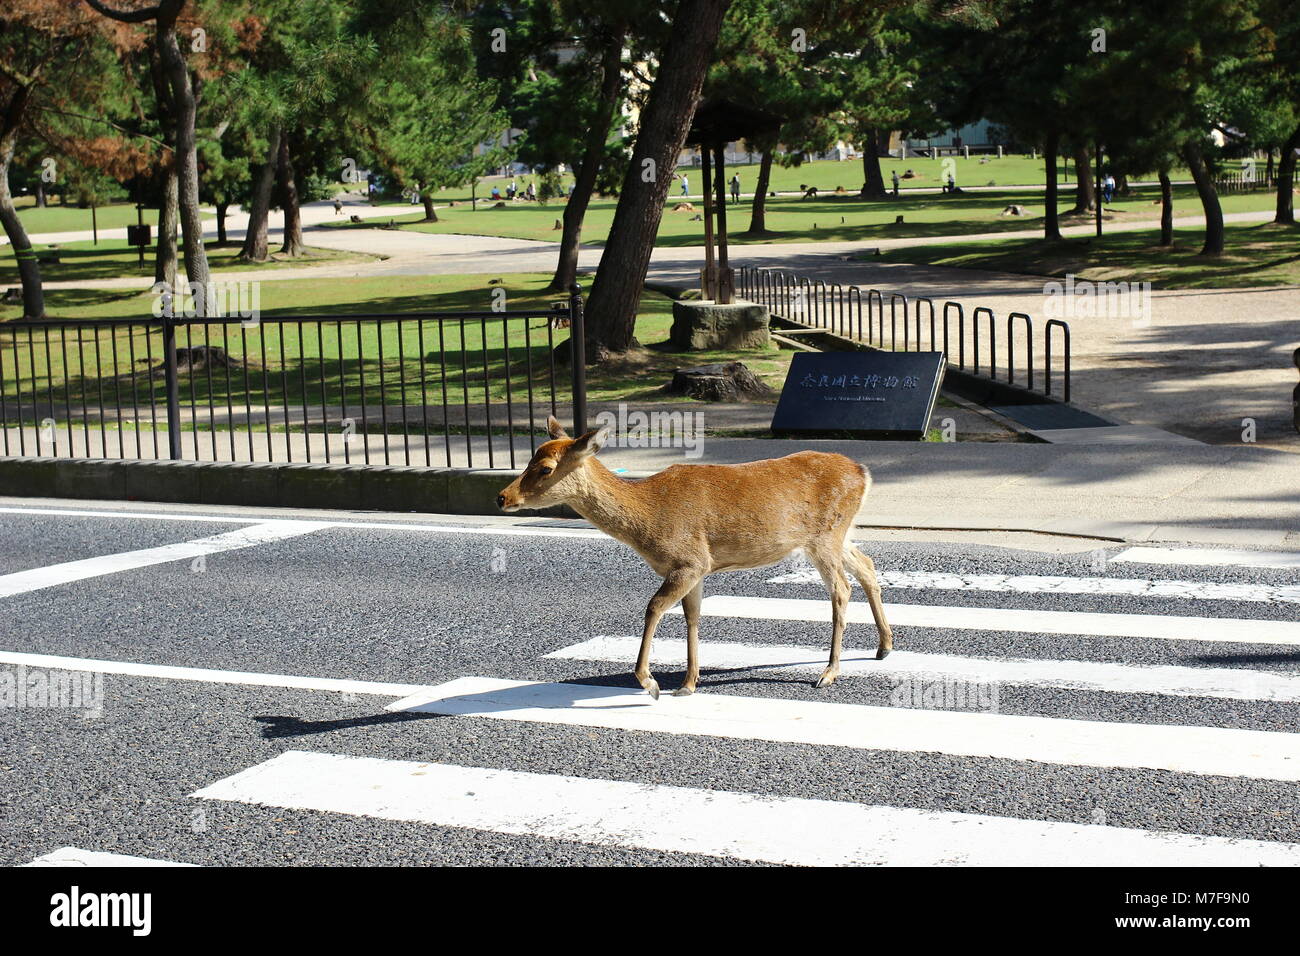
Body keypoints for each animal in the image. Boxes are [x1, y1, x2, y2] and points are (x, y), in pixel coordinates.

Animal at [497, 416, 893, 699]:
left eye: (545, 467)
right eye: (530, 458)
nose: (502, 497)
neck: (649, 517)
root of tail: (863, 473)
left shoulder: (690, 560)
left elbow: (654, 607)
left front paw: (651, 683)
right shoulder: (697, 569)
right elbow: (693, 617)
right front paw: (688, 682)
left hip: (825, 536)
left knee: (841, 589)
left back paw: (829, 672)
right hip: (838, 535)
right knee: (867, 566)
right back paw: (884, 647)